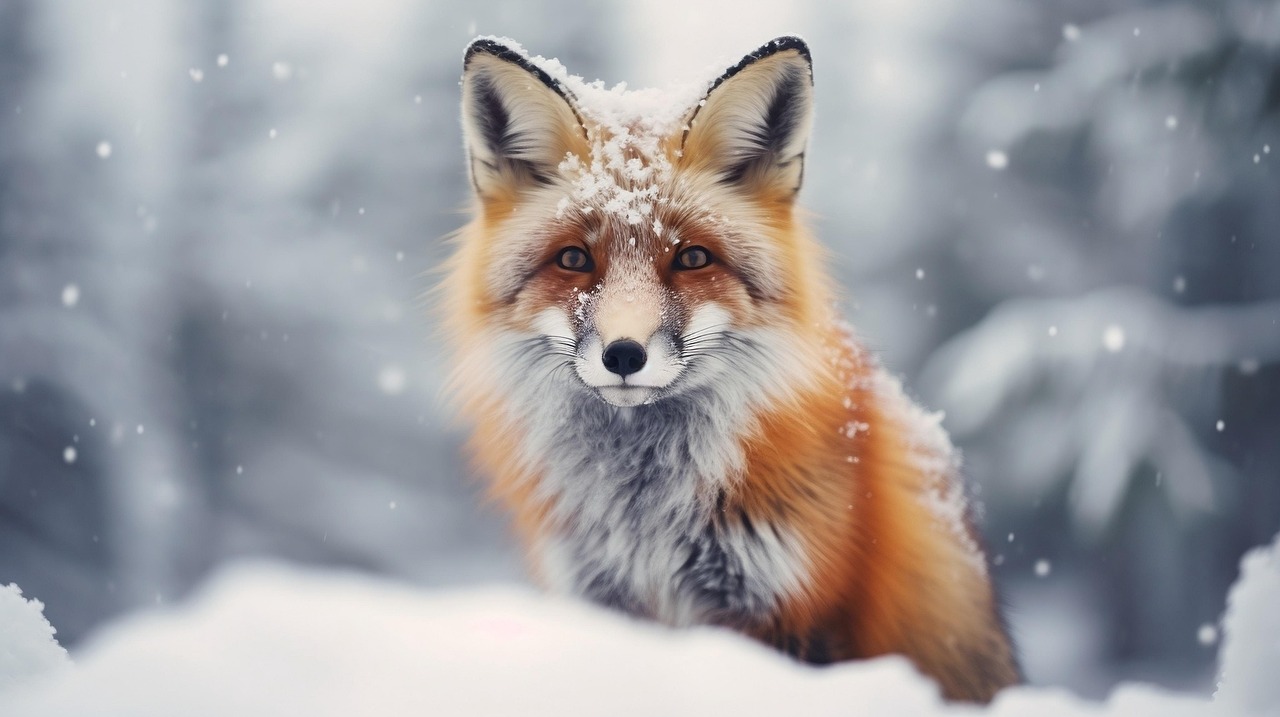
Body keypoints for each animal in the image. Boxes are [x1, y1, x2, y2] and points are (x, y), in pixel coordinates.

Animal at [441, 35, 1020, 703]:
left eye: (693, 258)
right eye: (574, 260)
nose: (624, 354)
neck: (646, 518)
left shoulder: (793, 604)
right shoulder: (605, 601)